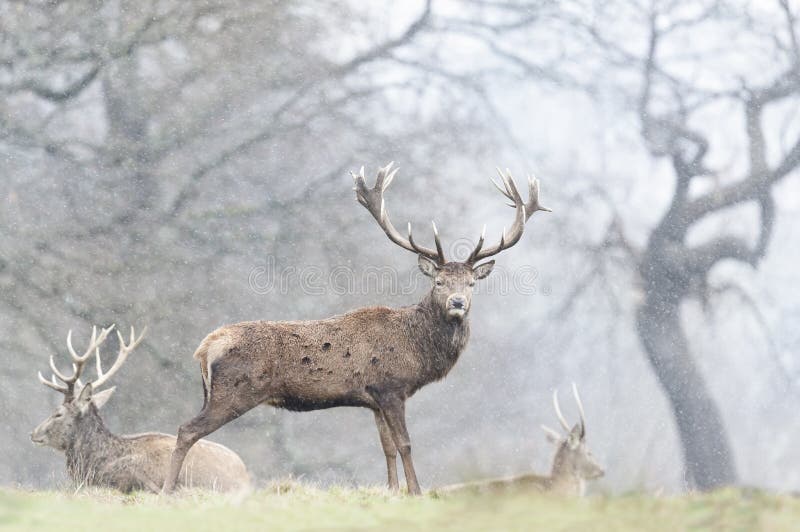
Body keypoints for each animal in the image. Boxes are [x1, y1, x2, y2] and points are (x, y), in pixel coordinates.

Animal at [163, 162, 550, 495]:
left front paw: (392, 490)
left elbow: (386, 447)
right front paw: (416, 491)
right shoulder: (391, 386)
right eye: (439, 281)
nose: (457, 303)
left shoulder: (373, 399)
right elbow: (405, 443)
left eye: (471, 283)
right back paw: (167, 490)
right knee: (186, 429)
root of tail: (204, 347)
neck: (418, 349)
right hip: (234, 392)